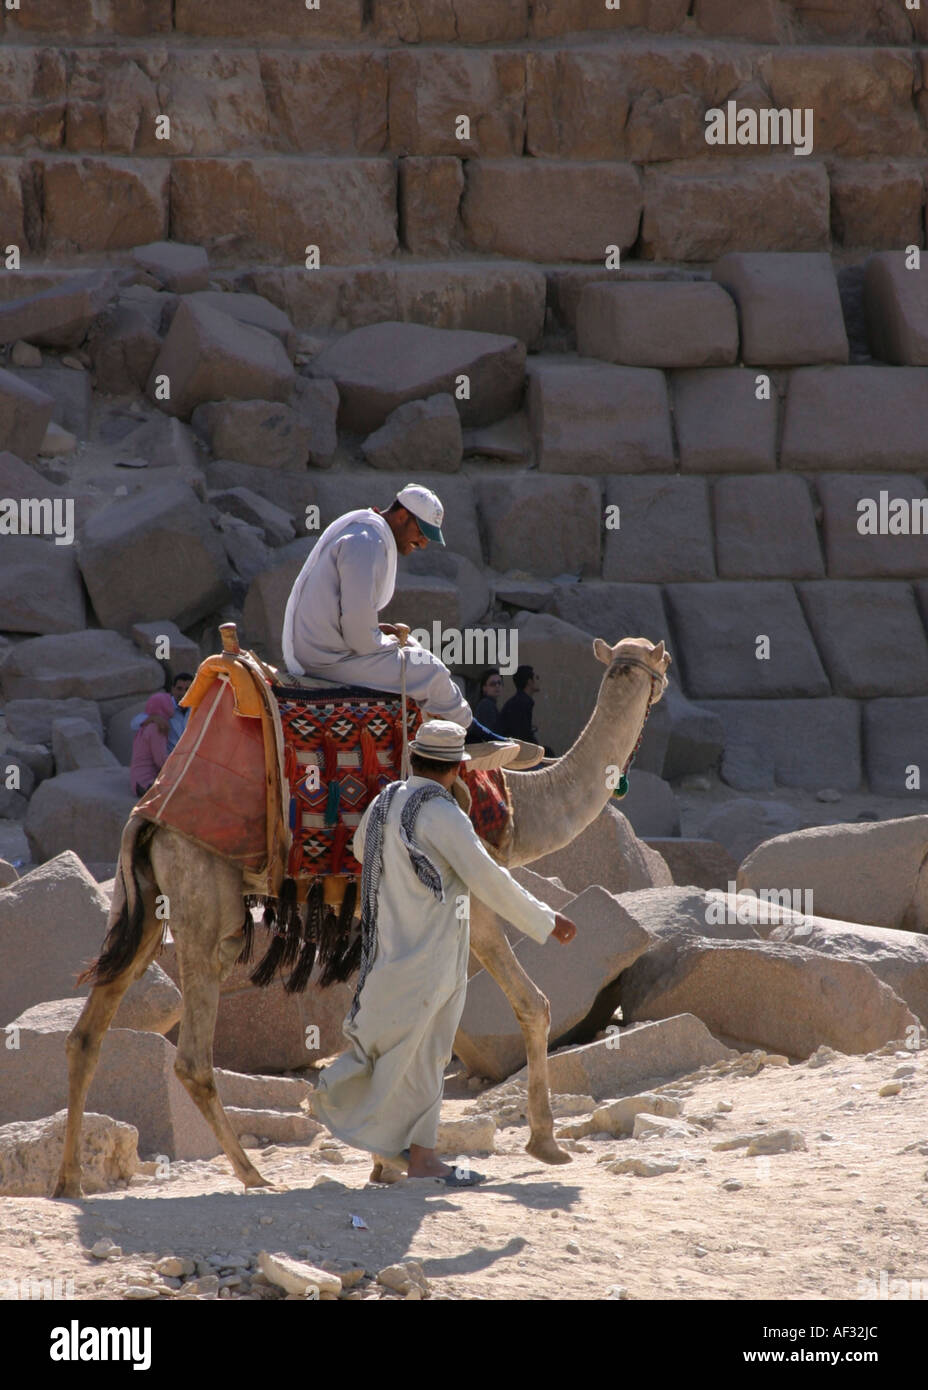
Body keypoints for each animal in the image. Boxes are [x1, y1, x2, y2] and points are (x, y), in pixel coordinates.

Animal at [53, 634, 670, 1198]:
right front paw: (546, 1144)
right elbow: (532, 1005)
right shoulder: (474, 882)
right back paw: (253, 1176)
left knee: (89, 1030)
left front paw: (383, 1162)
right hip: (205, 892)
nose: (660, 688)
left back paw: (70, 1181)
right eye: (660, 666)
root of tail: (150, 809)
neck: (524, 802)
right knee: (191, 1056)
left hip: (145, 902)